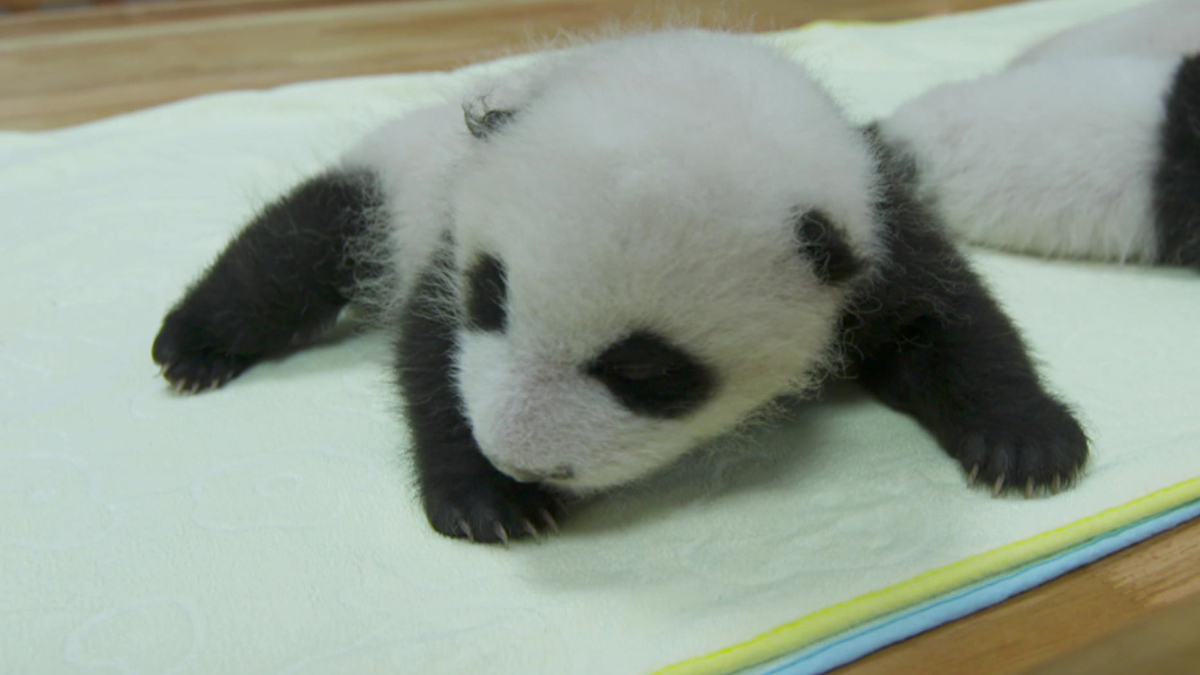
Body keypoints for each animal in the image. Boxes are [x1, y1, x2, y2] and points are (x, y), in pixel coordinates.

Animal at [152, 31, 1088, 544]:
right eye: (491, 300)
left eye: (643, 372)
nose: (520, 455)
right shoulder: (455, 222)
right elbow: (431, 356)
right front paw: (488, 499)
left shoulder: (871, 217)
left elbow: (949, 320)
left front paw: (1028, 446)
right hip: (393, 181)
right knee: (294, 250)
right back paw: (190, 346)